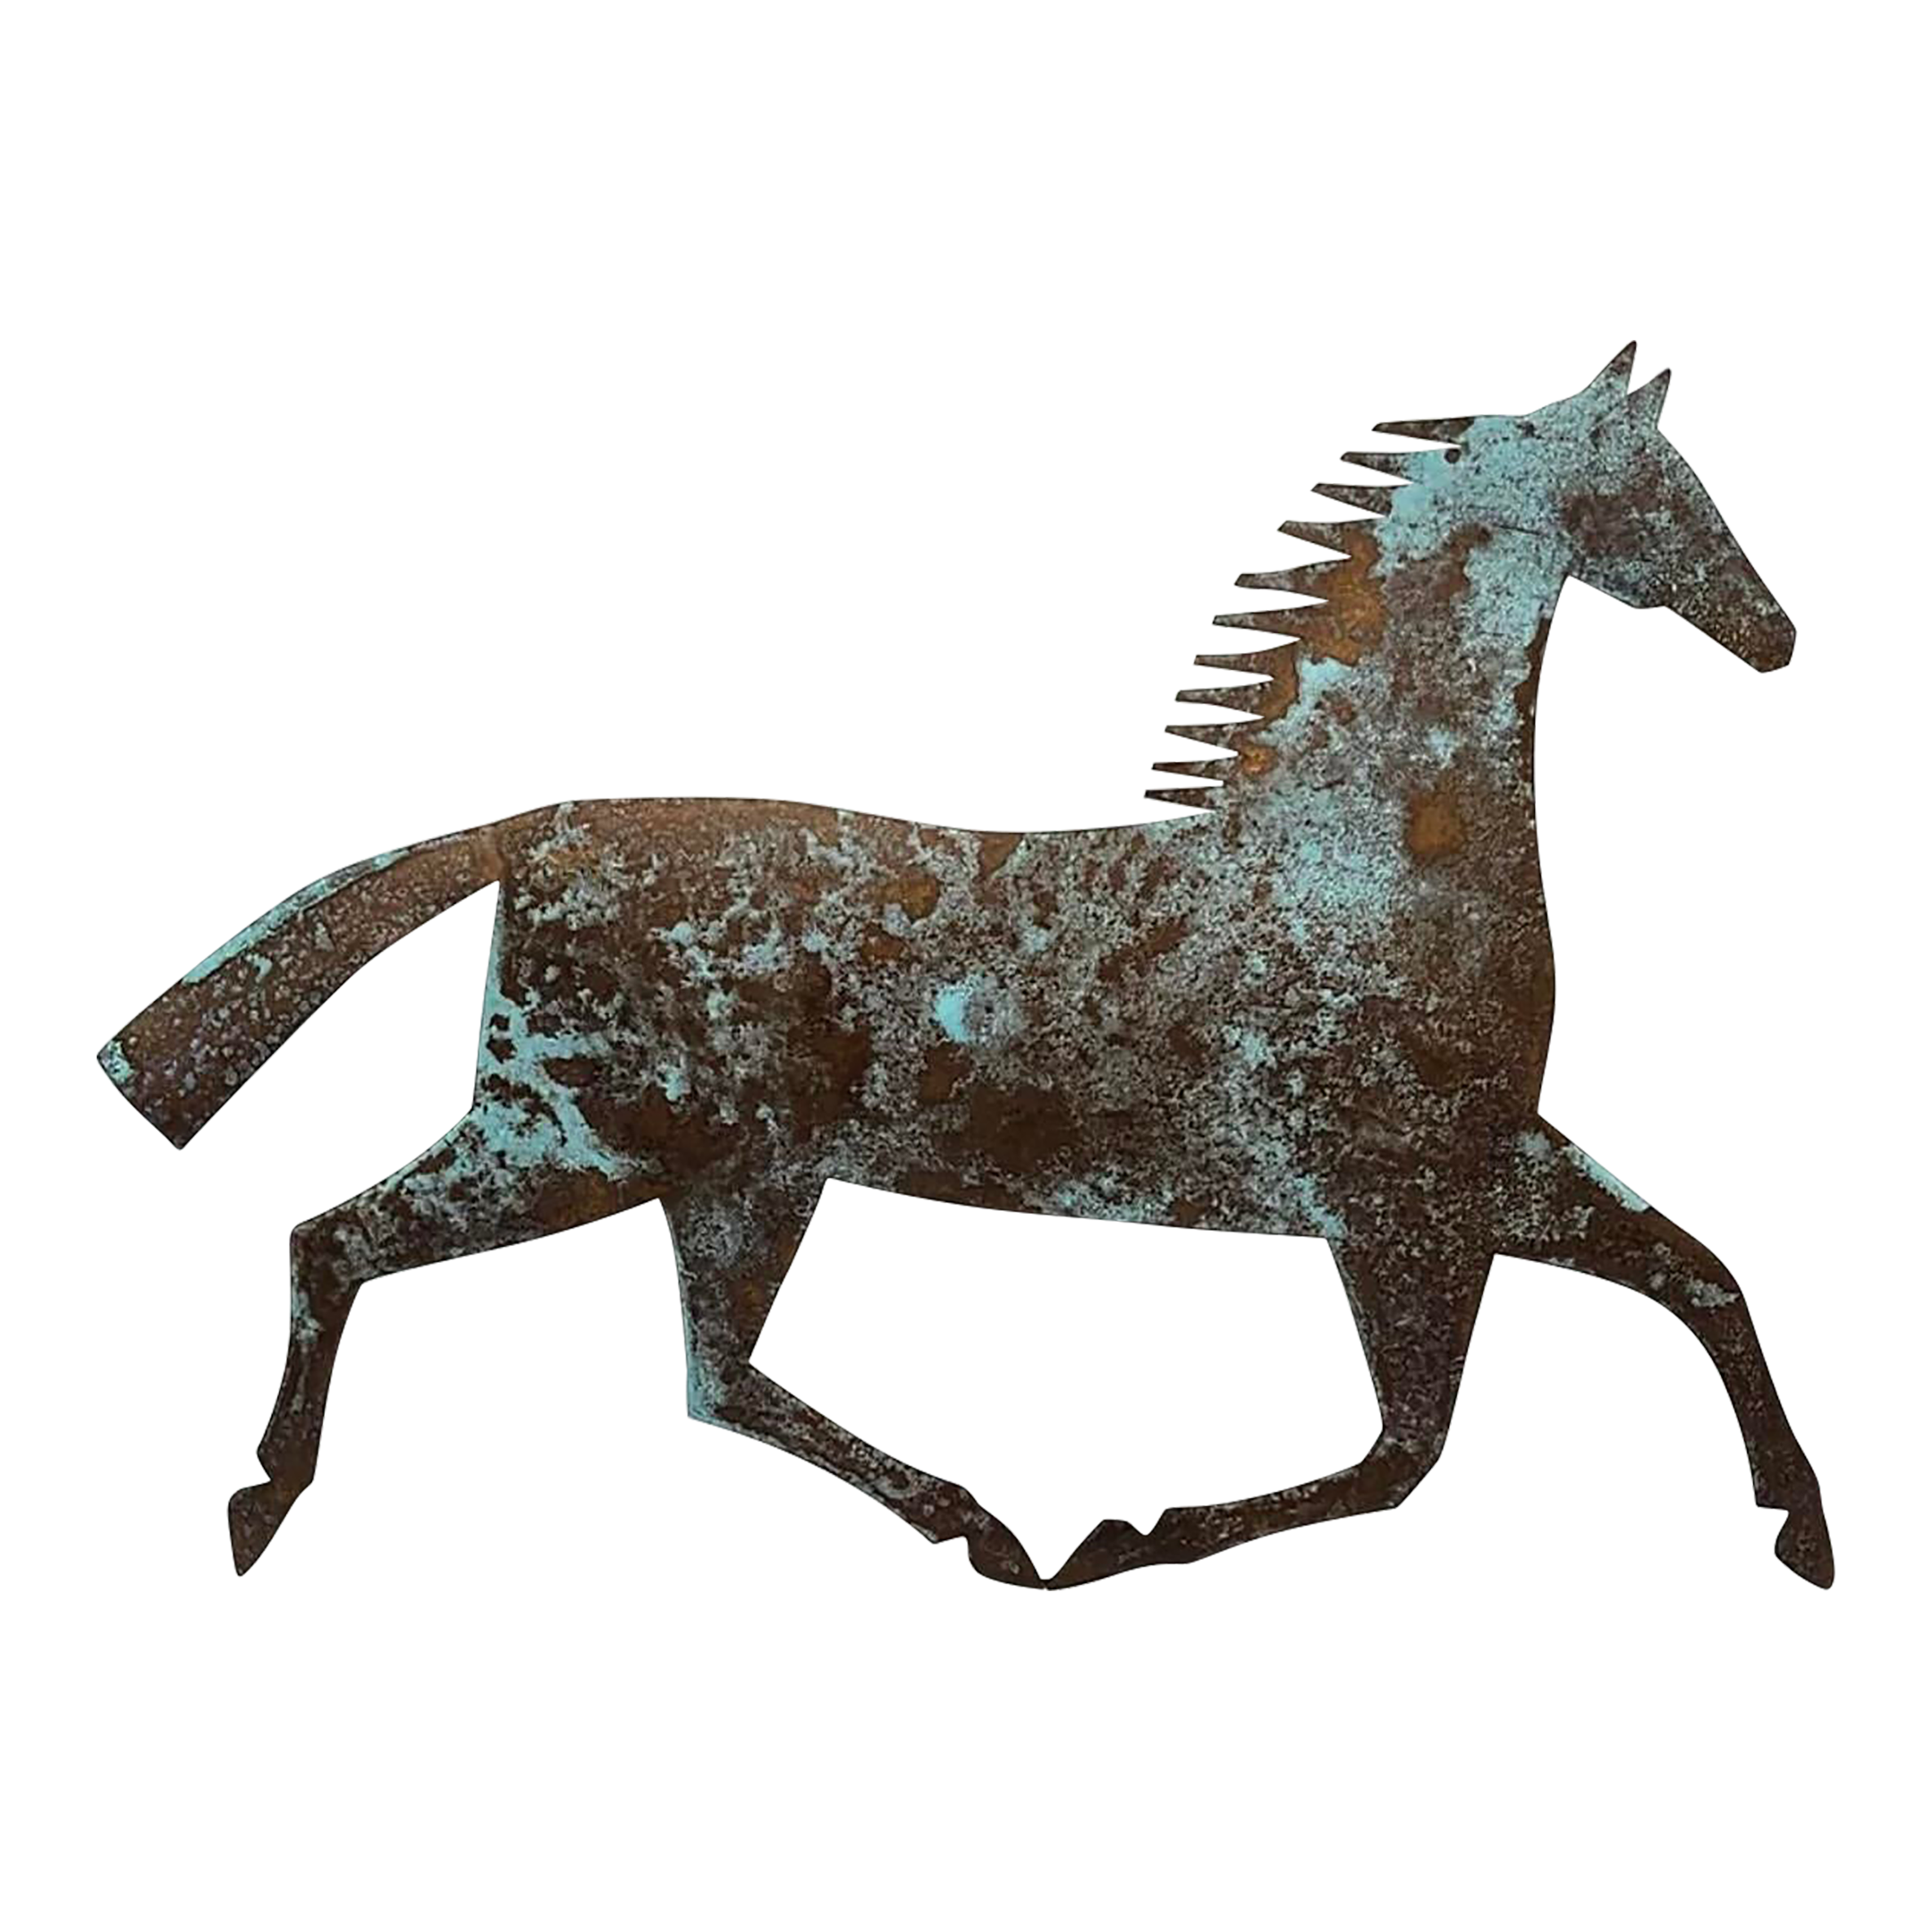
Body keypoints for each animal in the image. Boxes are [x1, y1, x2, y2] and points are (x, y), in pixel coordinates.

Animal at [98, 341, 1833, 1590]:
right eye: (1665, 490)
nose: (1772, 633)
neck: (1366, 848)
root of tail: (545, 831)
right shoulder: (1413, 1195)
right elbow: (1413, 1443)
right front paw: (1128, 1540)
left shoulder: (1478, 1171)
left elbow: (1695, 1274)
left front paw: (1806, 1528)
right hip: (574, 1138)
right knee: (339, 1243)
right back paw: (254, 1517)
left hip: (726, 1176)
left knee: (719, 1372)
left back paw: (986, 1532)